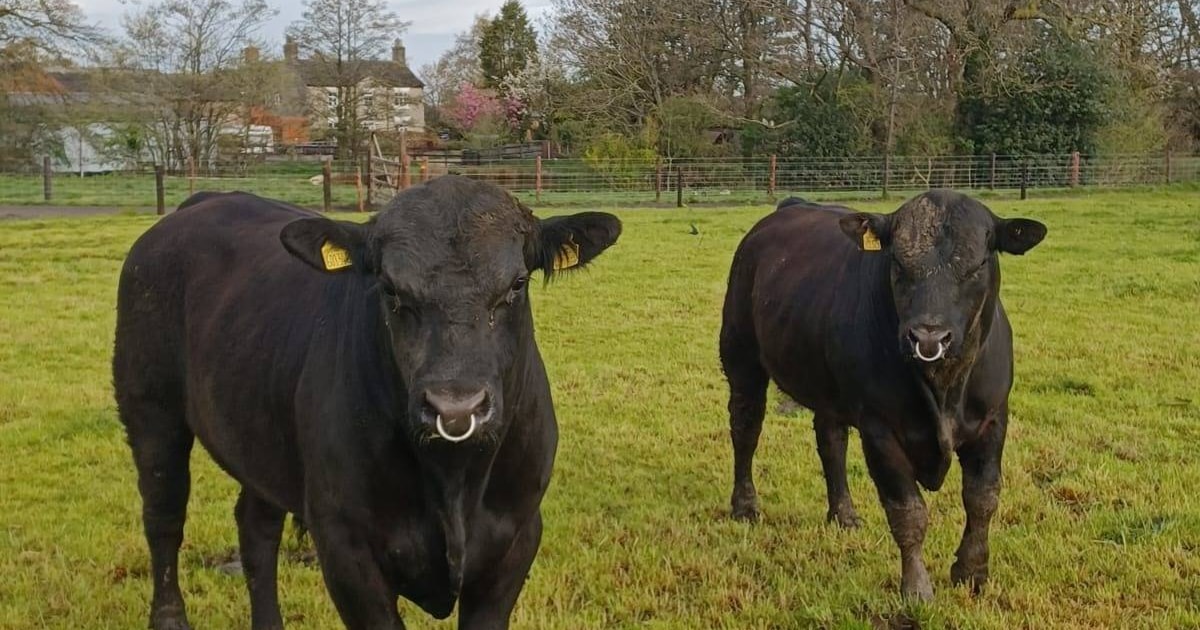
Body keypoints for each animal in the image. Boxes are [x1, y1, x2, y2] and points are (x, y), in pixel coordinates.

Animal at [113, 176, 621, 629]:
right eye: (391, 288)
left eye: (516, 284)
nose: (455, 409)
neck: (454, 480)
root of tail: (201, 203)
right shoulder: (345, 546)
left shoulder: (516, 536)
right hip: (149, 409)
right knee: (164, 516)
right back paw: (169, 619)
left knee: (257, 528)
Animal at [719, 190, 1045, 599]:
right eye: (898, 262)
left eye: (978, 264)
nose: (928, 336)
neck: (944, 389)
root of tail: (791, 206)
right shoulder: (880, 429)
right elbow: (907, 511)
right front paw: (917, 588)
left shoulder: (993, 418)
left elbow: (983, 497)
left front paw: (972, 572)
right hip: (741, 357)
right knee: (745, 429)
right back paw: (745, 506)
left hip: (829, 389)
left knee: (831, 441)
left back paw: (843, 513)